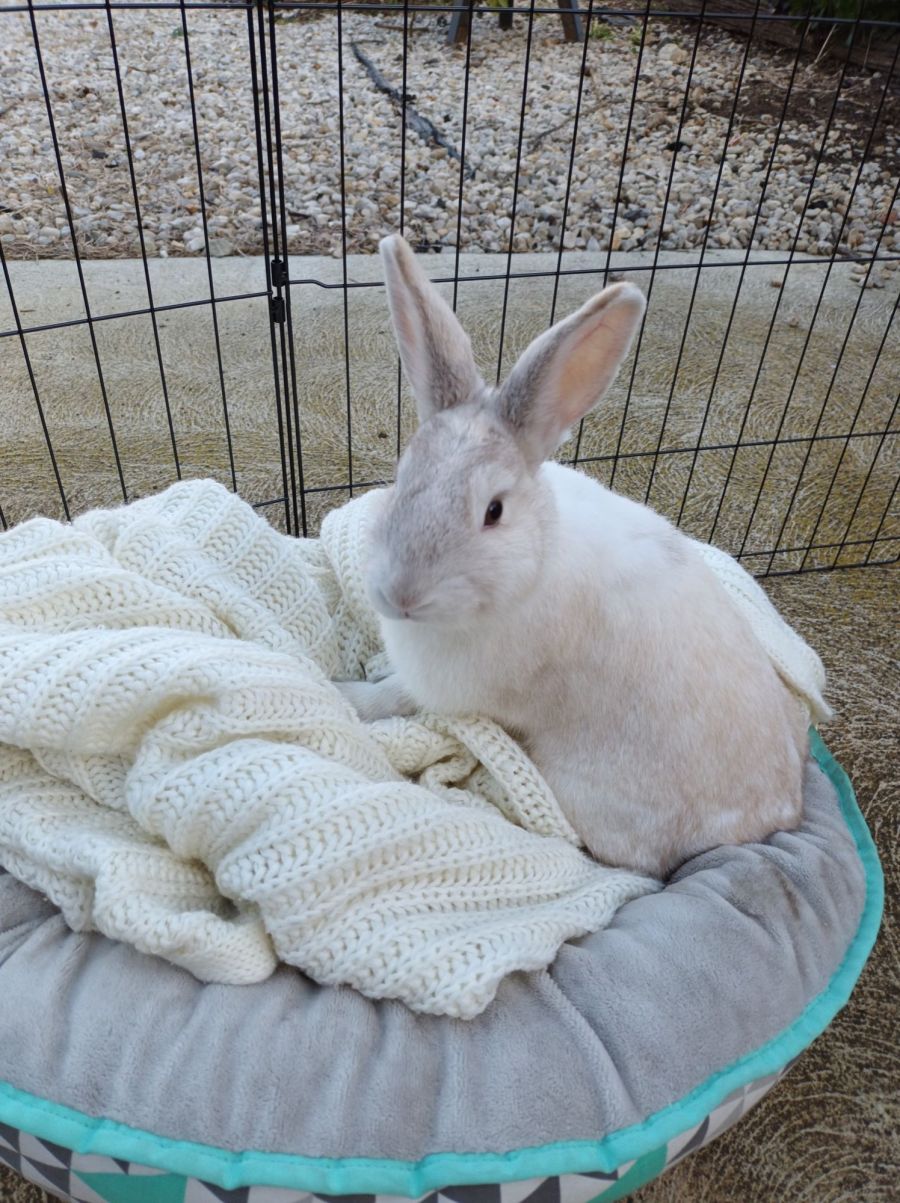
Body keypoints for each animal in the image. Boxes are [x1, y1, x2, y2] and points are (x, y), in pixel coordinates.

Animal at [338, 234, 809, 879]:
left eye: (493, 511)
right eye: (401, 479)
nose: (403, 595)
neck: (533, 566)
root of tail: (772, 821)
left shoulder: (453, 692)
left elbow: (394, 701)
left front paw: (346, 695)